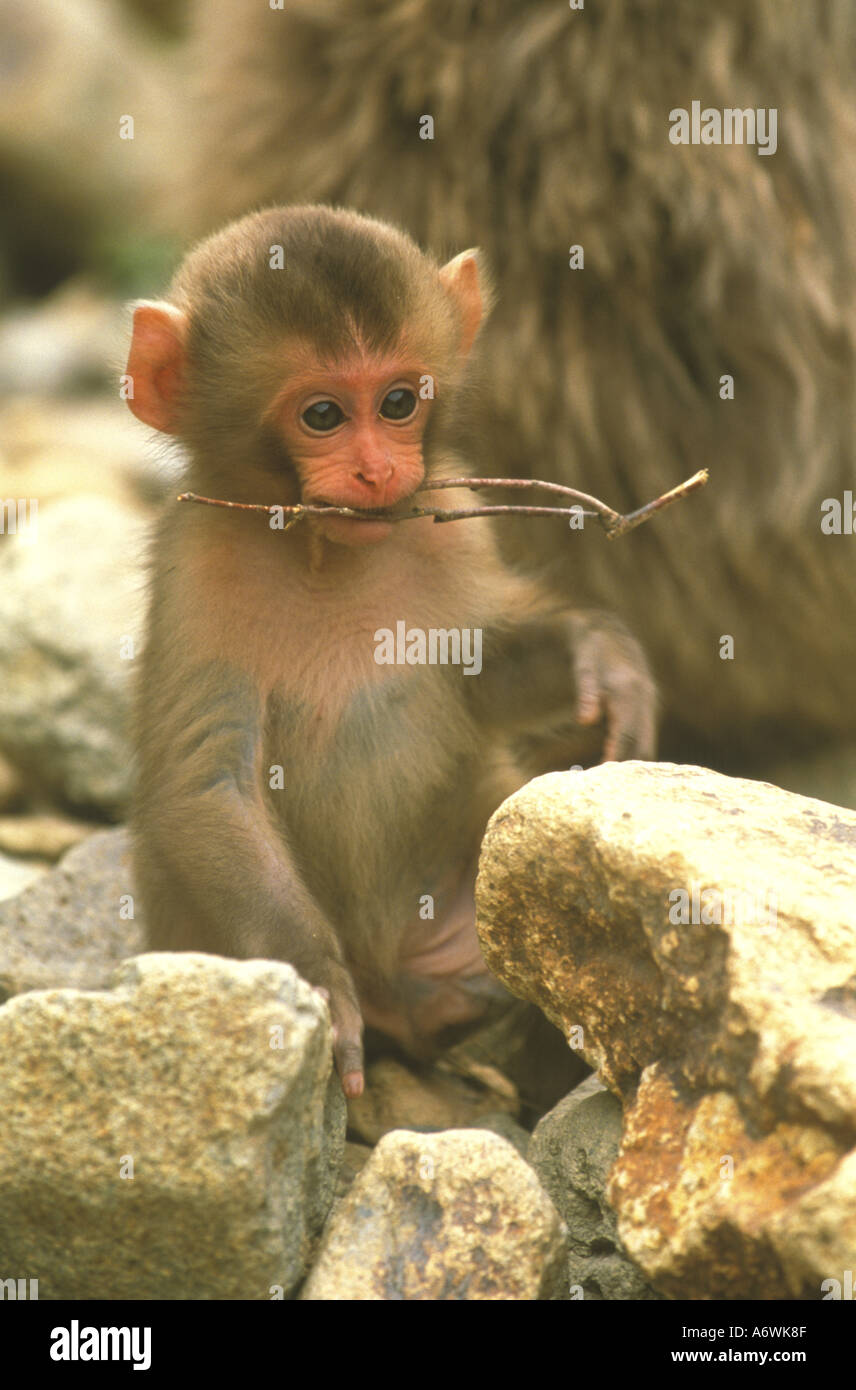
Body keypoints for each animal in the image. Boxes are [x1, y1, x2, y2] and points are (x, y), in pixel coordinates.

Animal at [125, 205, 656, 1098]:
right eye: (323, 416)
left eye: (400, 401)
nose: (377, 471)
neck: (324, 556)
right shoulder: (197, 568)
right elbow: (208, 783)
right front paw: (315, 980)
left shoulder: (451, 519)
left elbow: (484, 673)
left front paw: (599, 659)